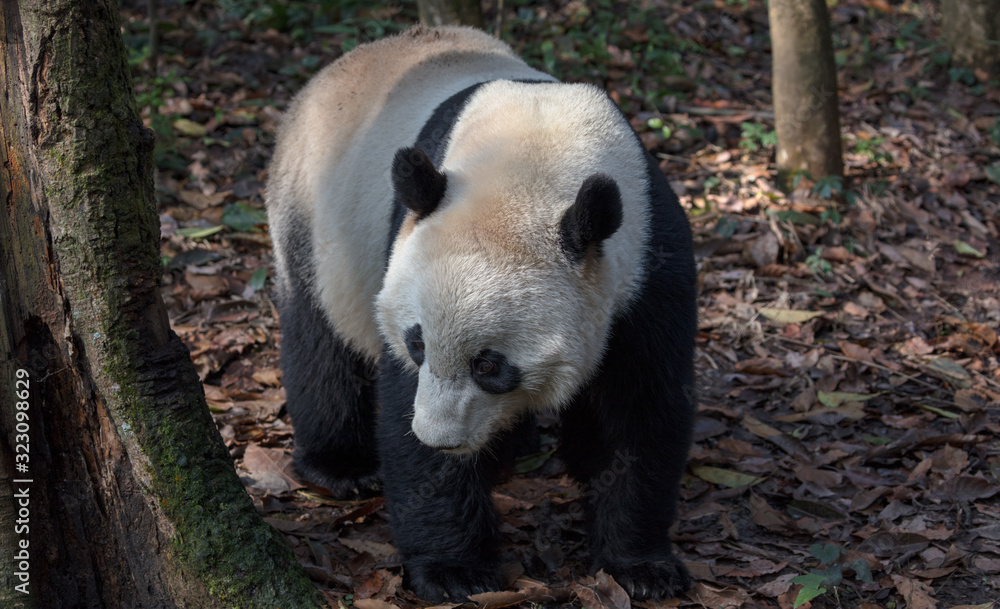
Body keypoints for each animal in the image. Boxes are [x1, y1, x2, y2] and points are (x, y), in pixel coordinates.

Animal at [266, 26, 697, 603]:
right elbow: (404, 411)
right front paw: (457, 571)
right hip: (317, 214)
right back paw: (342, 466)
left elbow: (641, 409)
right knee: (319, 339)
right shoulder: (405, 252)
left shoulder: (648, 258)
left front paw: (643, 567)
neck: (532, 160)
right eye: (417, 343)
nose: (439, 437)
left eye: (491, 365)